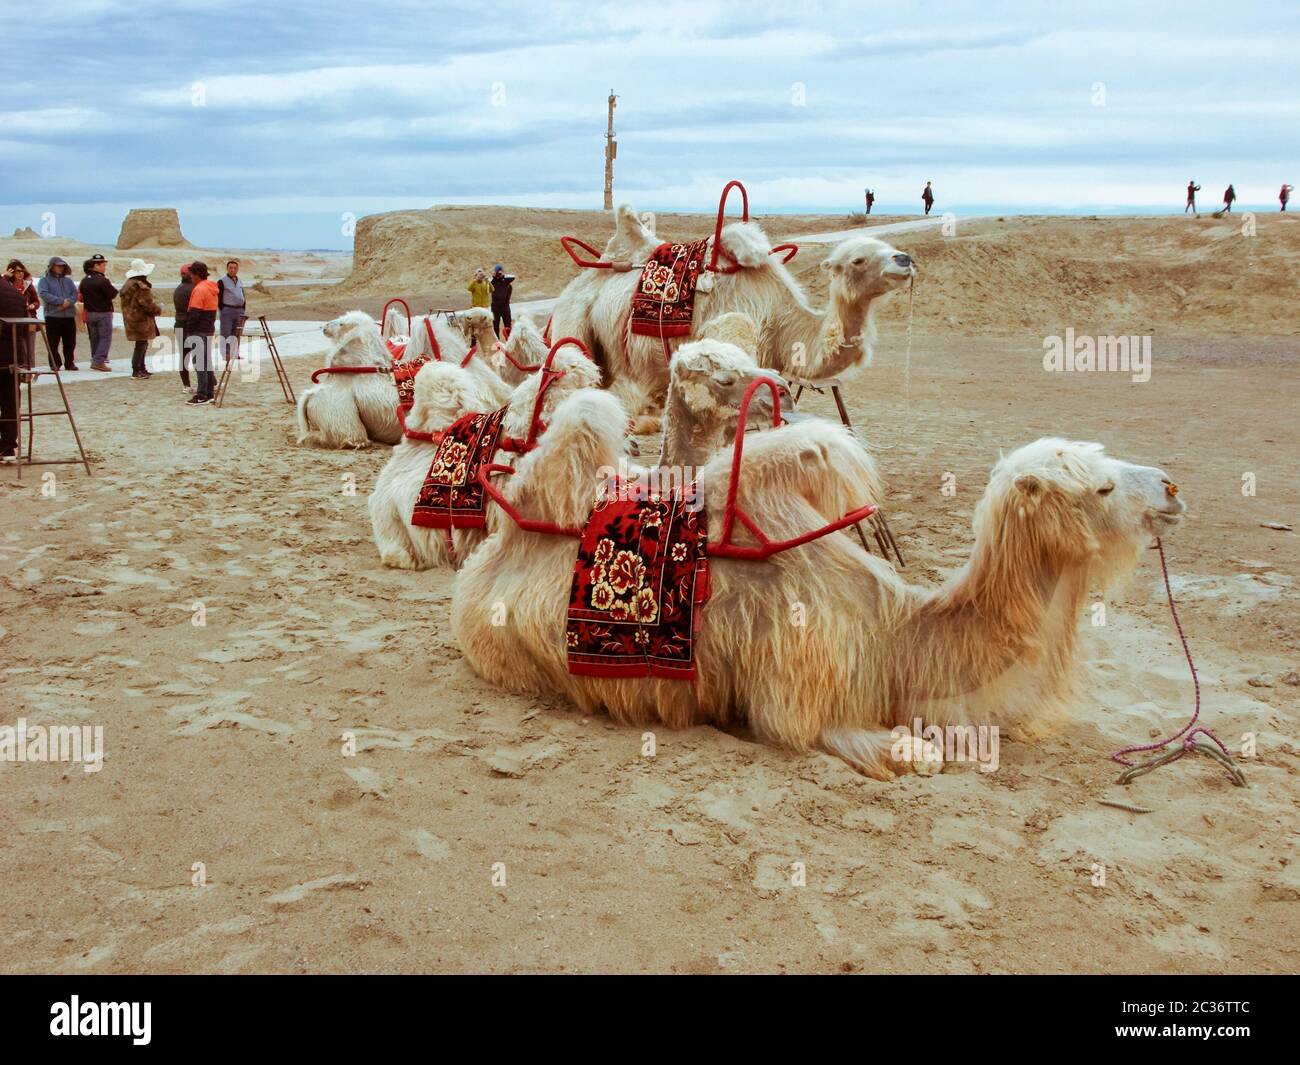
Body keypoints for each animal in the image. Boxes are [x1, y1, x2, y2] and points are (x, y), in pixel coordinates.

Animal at [452, 393, 1186, 780]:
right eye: (1102, 487)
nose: (1172, 486)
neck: (892, 633)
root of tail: (486, 552)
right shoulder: (795, 696)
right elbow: (898, 750)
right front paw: (911, 749)